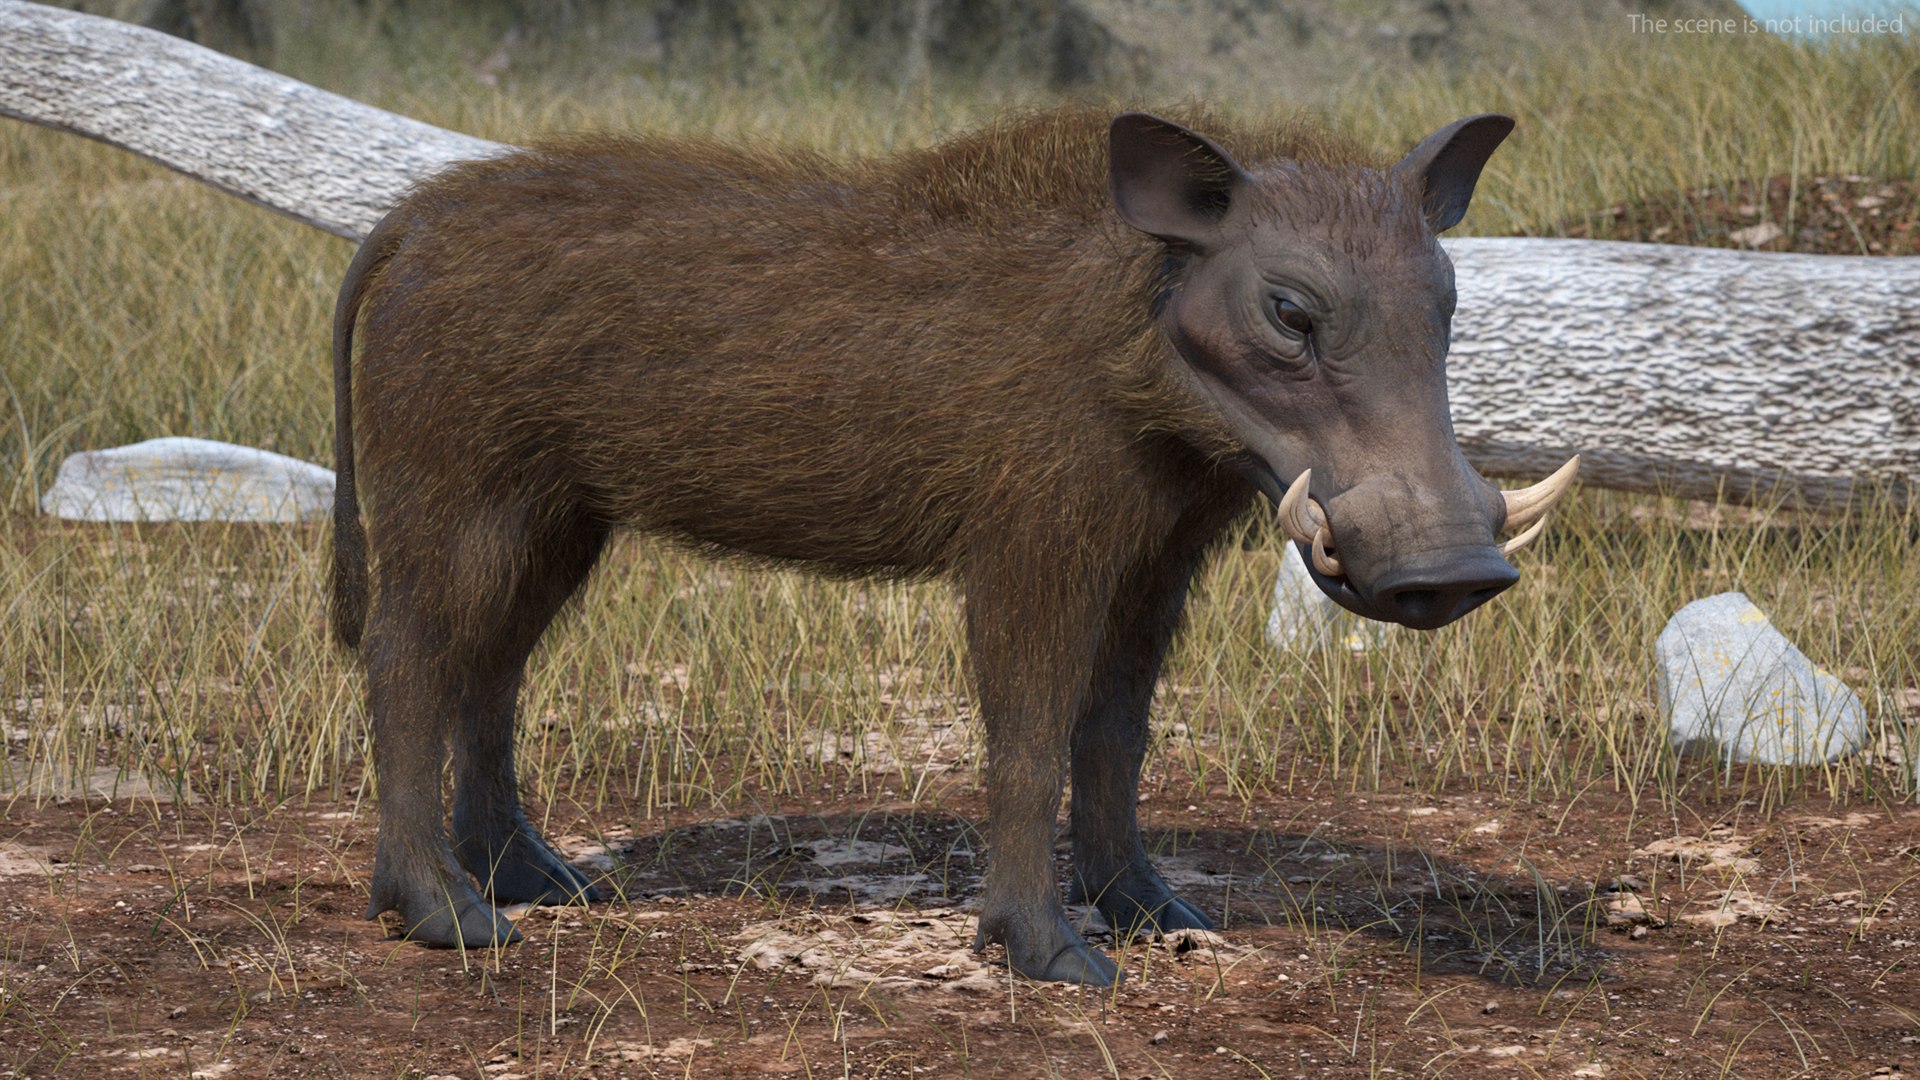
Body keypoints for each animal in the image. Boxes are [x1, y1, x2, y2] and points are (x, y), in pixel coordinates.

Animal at [330, 106, 1577, 986]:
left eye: (1446, 299)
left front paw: (1163, 917)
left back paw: (545, 886)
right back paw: (446, 918)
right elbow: (1029, 731)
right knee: (403, 660)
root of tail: (414, 217)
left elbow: (1116, 736)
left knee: (490, 672)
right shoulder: (1034, 540)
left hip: (557, 518)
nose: (1456, 573)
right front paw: (1055, 958)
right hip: (456, 496)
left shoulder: (1154, 561)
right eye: (1290, 310)